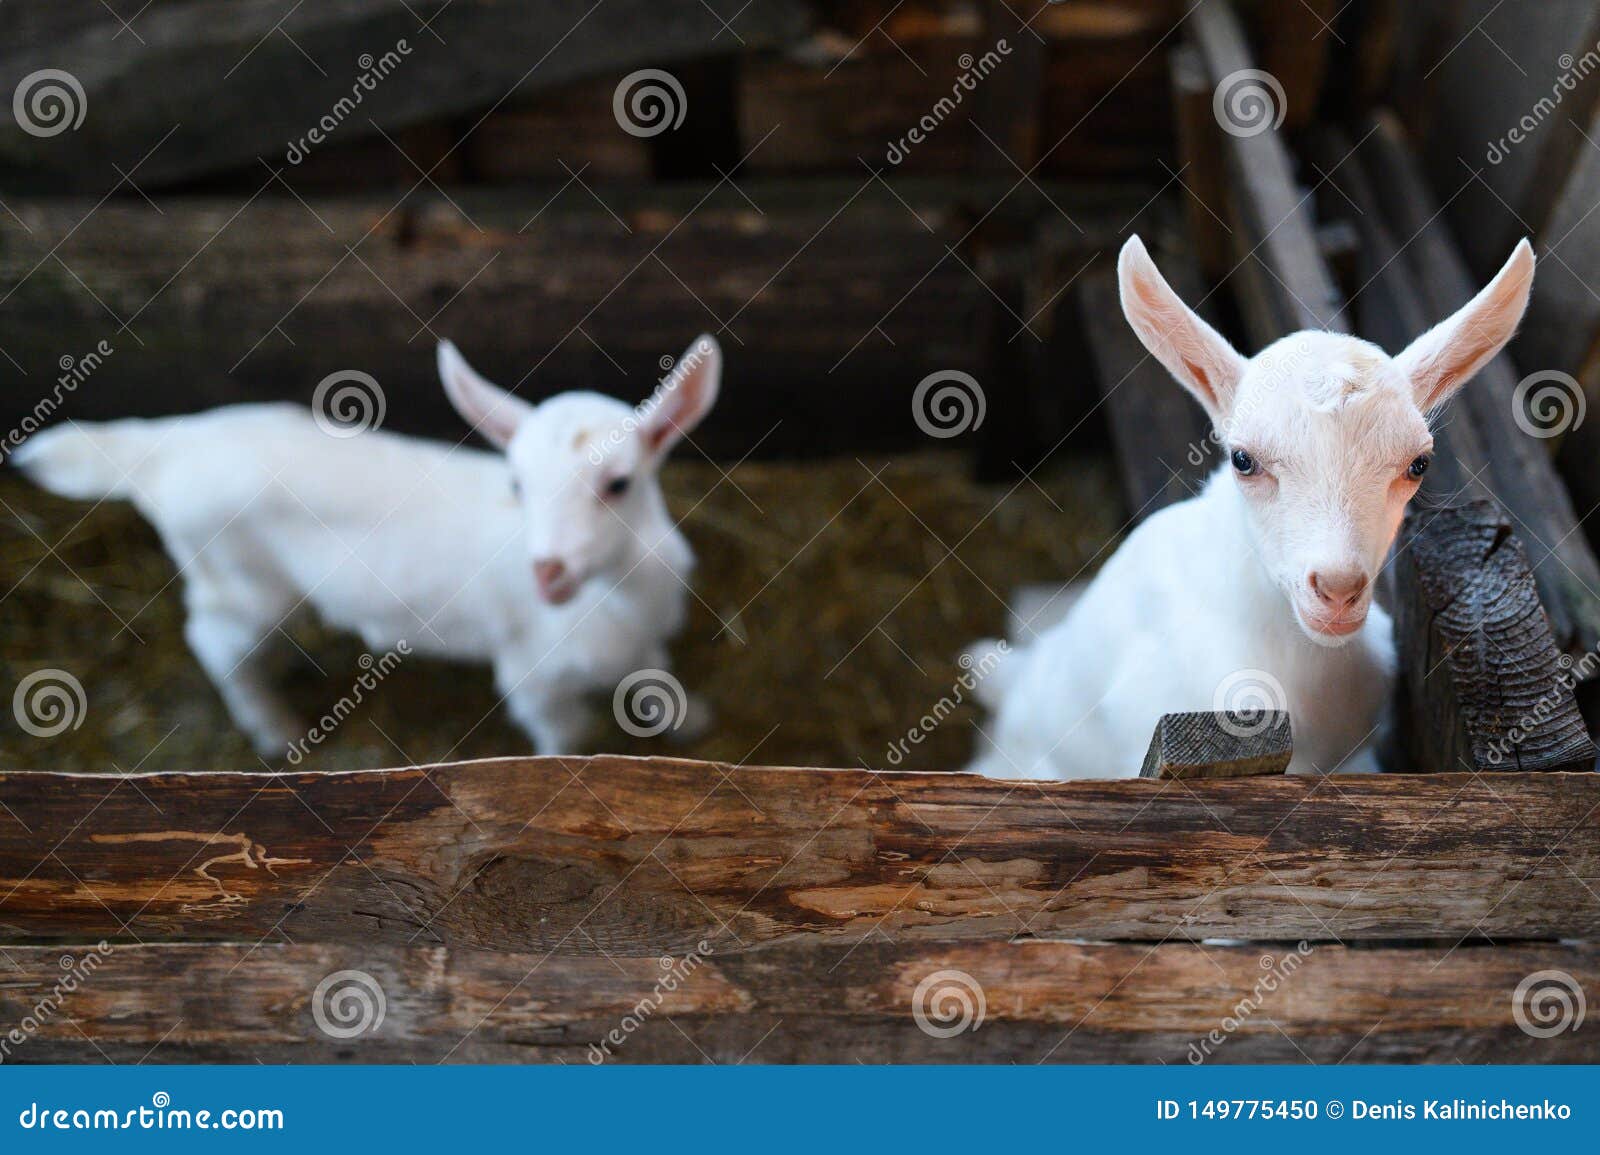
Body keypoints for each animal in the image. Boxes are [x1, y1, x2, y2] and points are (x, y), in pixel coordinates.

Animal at [13, 336, 722, 758]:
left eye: (620, 483)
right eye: (518, 484)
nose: (547, 573)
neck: (620, 595)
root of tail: (164, 448)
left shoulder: (644, 637)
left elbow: (657, 674)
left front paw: (690, 720)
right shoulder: (535, 676)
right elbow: (568, 735)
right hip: (235, 580)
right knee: (214, 643)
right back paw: (274, 728)